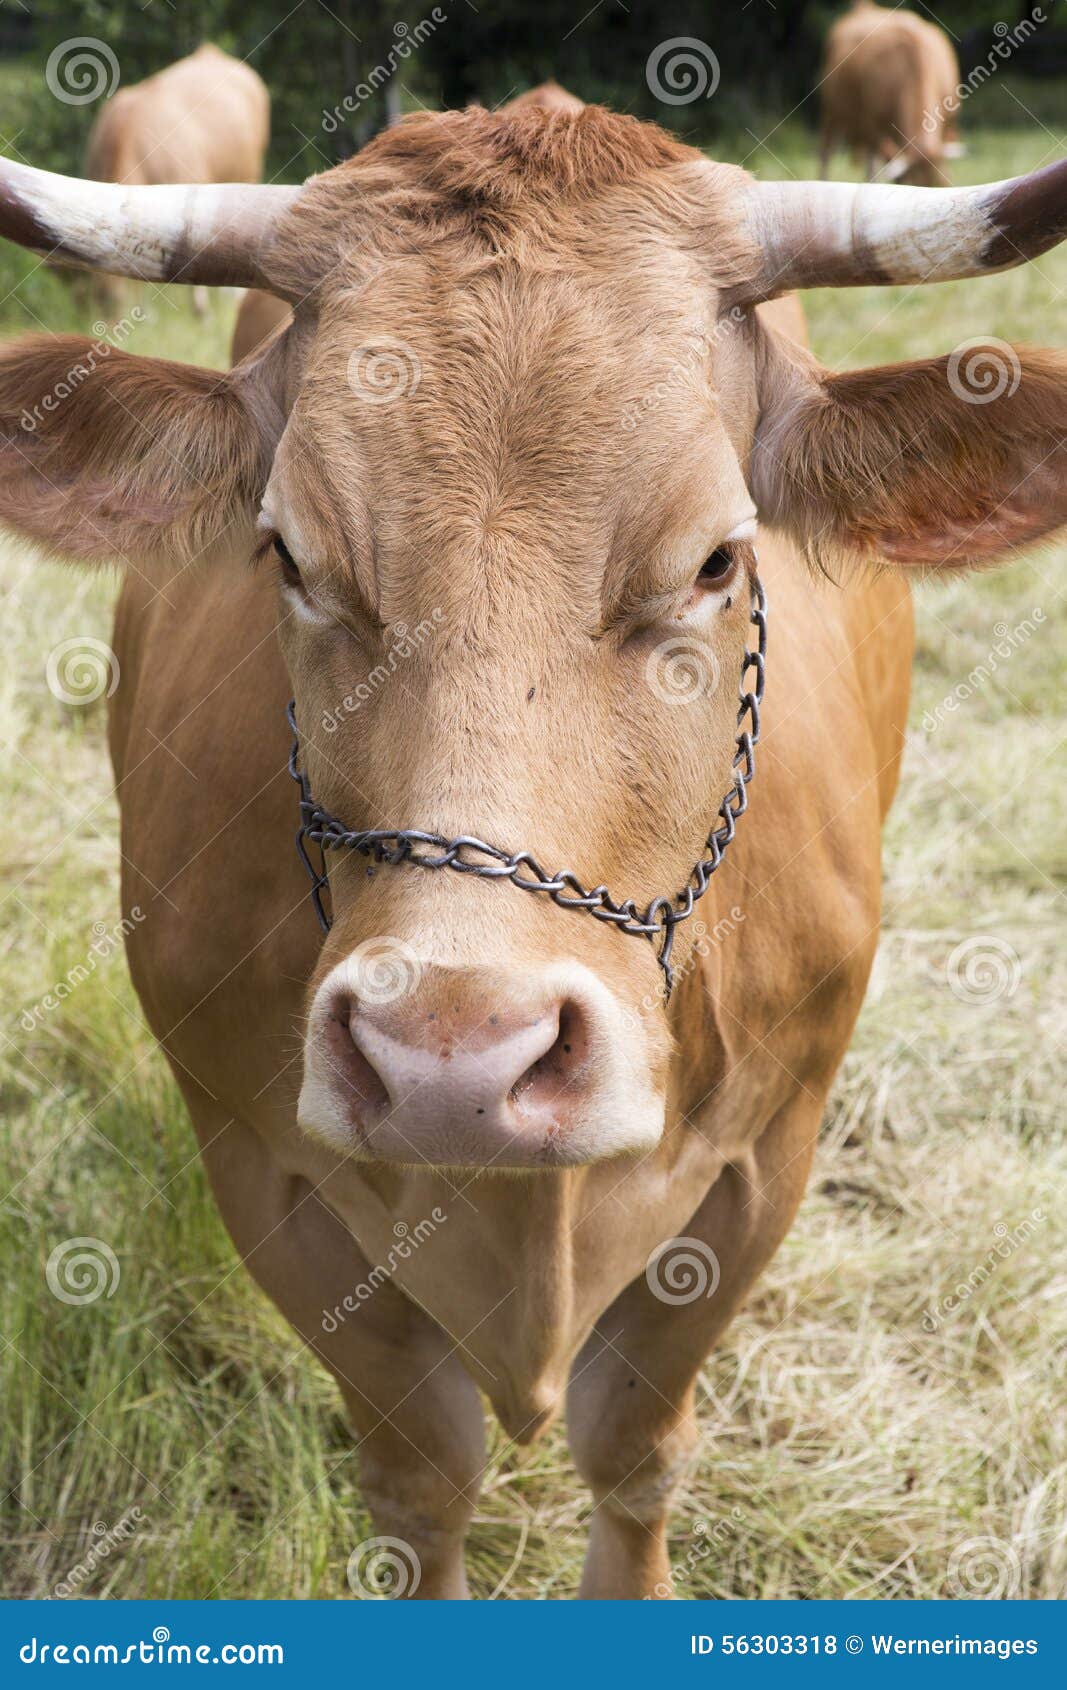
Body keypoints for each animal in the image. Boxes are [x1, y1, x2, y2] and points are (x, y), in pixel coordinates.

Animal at [1, 107, 1065, 1600]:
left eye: (714, 559)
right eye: (288, 555)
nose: (451, 1062)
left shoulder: (766, 1157)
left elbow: (634, 1448)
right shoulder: (258, 1165)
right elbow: (420, 1474)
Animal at [819, 2, 962, 186]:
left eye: (939, 185)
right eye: (912, 183)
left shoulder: (947, 123)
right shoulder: (872, 123)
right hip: (832, 111)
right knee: (827, 151)